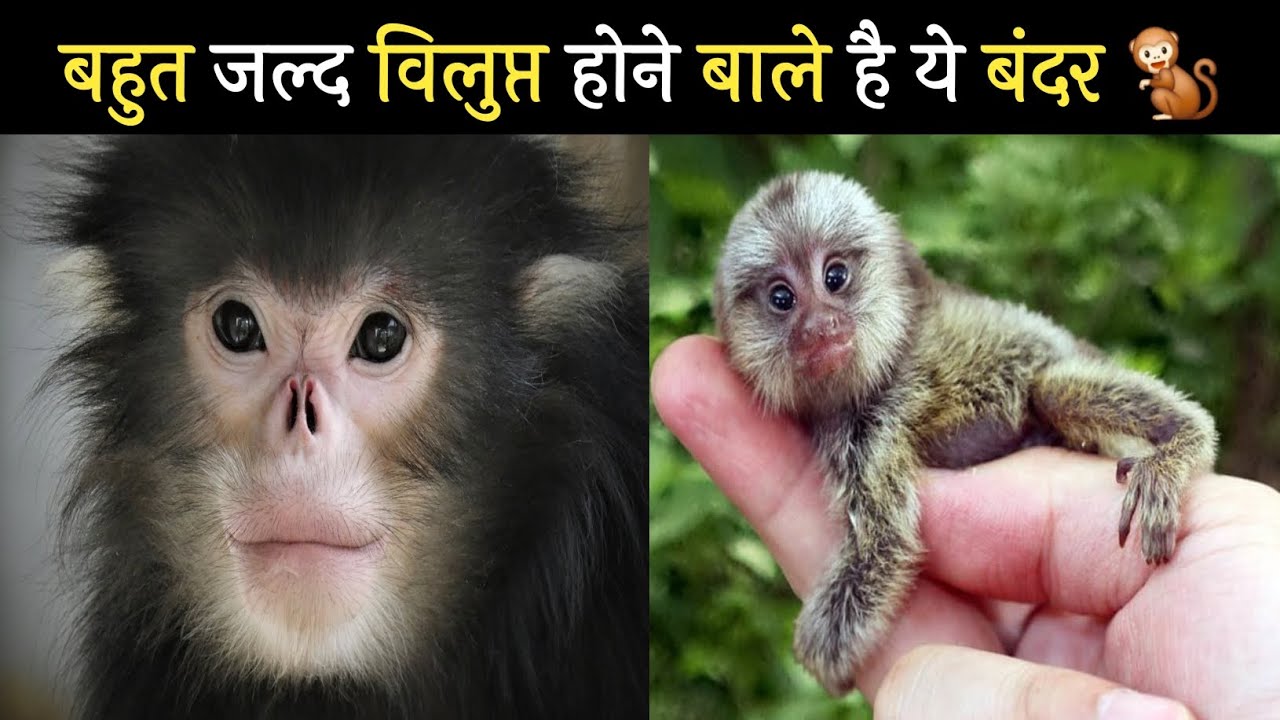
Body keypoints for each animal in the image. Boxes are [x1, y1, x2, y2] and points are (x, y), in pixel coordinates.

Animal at [711, 170, 1218, 697]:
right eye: (782, 298)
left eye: (835, 277)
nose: (819, 327)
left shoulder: (880, 421)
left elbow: (884, 541)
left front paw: (822, 658)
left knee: (1051, 389)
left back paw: (1179, 446)